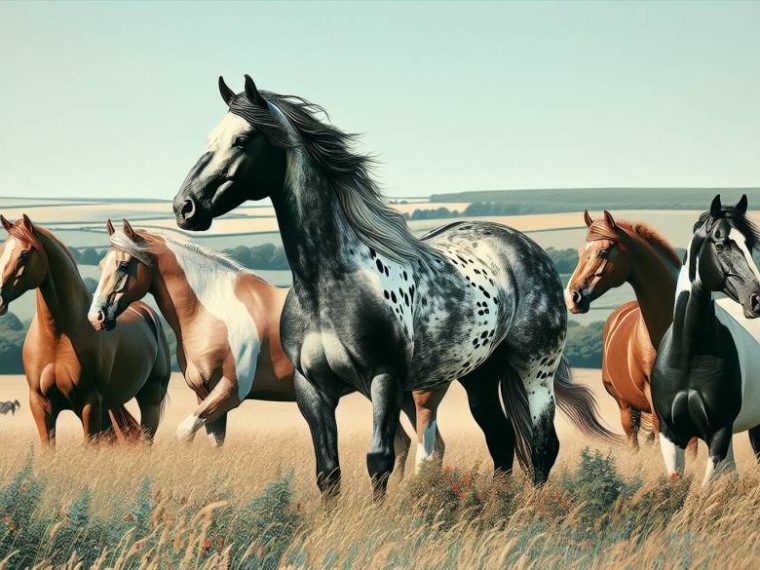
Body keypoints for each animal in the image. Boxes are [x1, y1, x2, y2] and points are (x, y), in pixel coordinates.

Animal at [0, 215, 171, 444]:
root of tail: (147, 313)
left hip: (150, 398)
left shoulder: (89, 404)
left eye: (25, 254)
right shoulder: (41, 405)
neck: (57, 336)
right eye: (2, 250)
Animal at [87, 219, 423, 474]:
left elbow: (185, 432)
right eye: (101, 264)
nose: (97, 317)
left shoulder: (231, 390)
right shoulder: (205, 393)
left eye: (124, 266)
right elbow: (214, 441)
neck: (211, 311)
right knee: (403, 443)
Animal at [171, 75, 615, 497]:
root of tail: (525, 248)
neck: (329, 285)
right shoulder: (312, 389)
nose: (184, 207)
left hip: (535, 369)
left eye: (242, 140)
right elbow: (328, 471)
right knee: (501, 439)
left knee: (542, 446)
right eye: (210, 139)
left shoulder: (383, 379)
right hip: (480, 375)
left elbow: (379, 459)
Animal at [652, 195, 760, 484]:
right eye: (720, 244)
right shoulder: (671, 435)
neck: (689, 352)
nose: (756, 300)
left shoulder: (719, 431)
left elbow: (707, 486)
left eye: (750, 245)